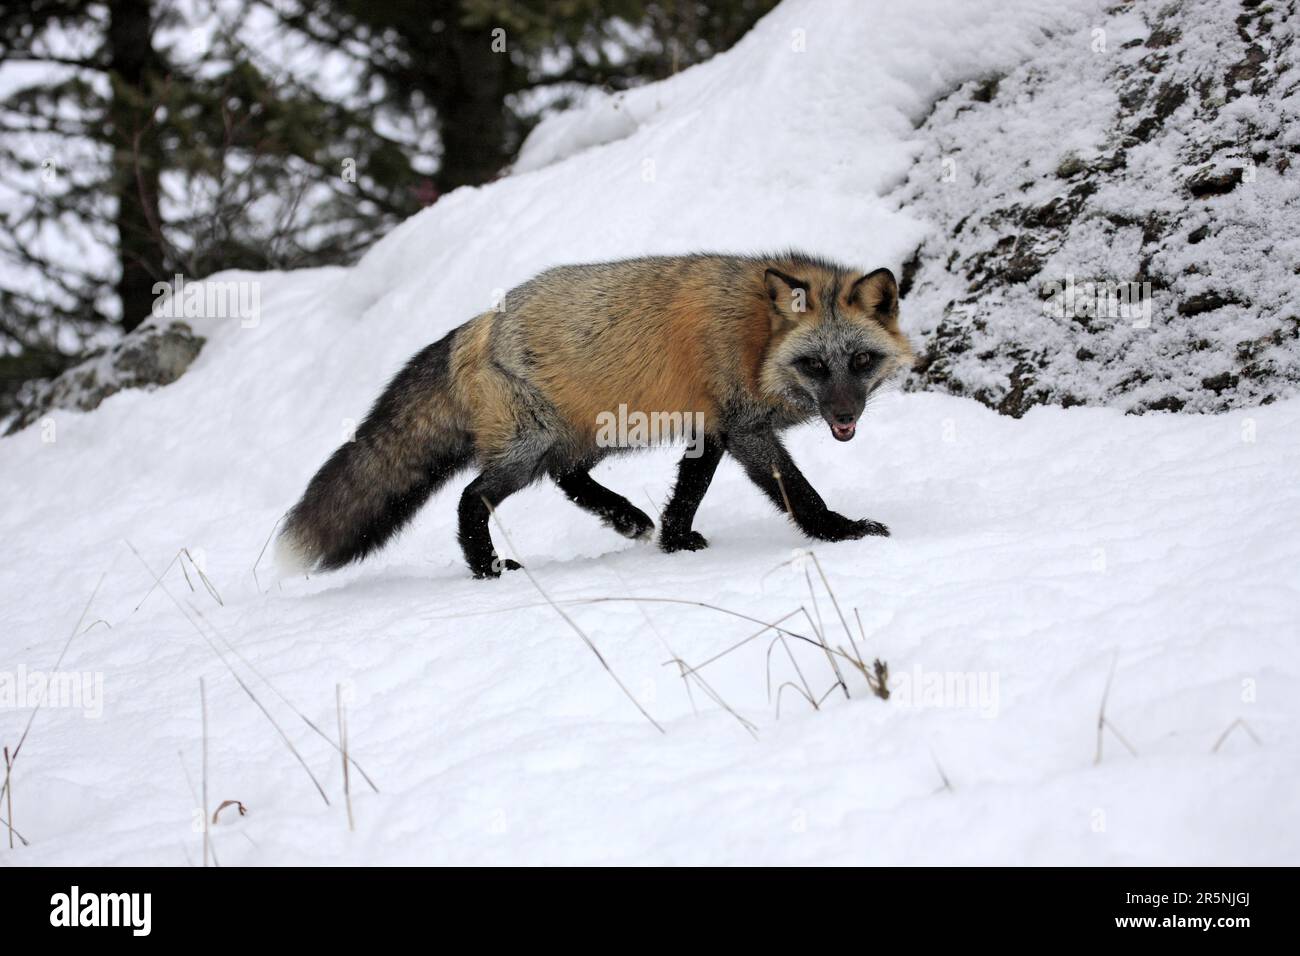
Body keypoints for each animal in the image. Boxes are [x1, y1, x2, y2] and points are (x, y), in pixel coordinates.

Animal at [276, 252, 915, 579]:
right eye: (814, 365)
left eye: (860, 360)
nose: (844, 415)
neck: (756, 338)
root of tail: (476, 325)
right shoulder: (746, 428)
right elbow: (800, 494)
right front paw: (844, 533)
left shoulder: (711, 426)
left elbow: (689, 490)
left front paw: (673, 541)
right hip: (532, 446)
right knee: (471, 498)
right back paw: (488, 567)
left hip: (597, 433)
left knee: (567, 478)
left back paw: (626, 518)